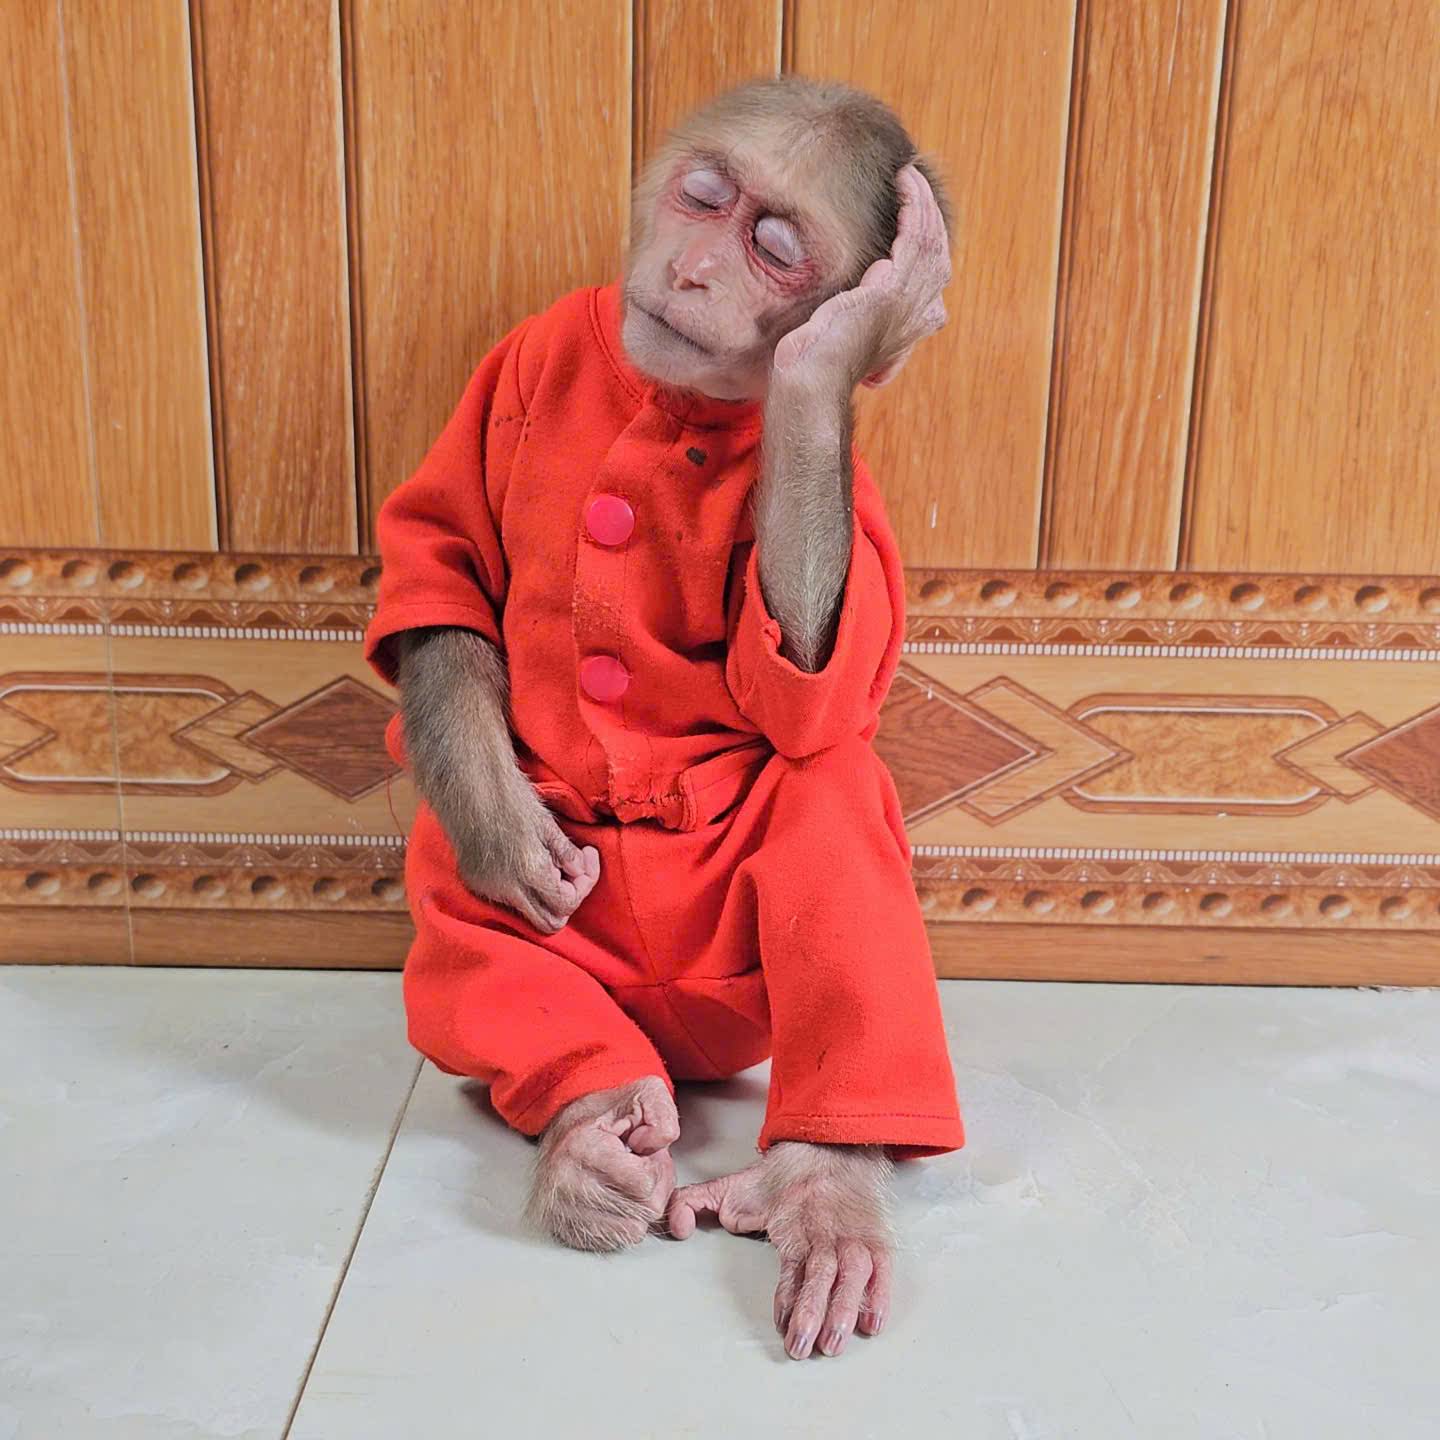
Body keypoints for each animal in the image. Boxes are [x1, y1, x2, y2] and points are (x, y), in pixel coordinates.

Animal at [367, 76, 962, 1361]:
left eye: (774, 246)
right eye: (704, 196)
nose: (691, 273)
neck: (677, 396)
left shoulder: (855, 499)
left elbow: (816, 686)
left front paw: (842, 347)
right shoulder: (515, 359)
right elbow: (446, 586)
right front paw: (510, 839)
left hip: (735, 1004)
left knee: (831, 786)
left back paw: (819, 1182)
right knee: (459, 904)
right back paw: (593, 1126)